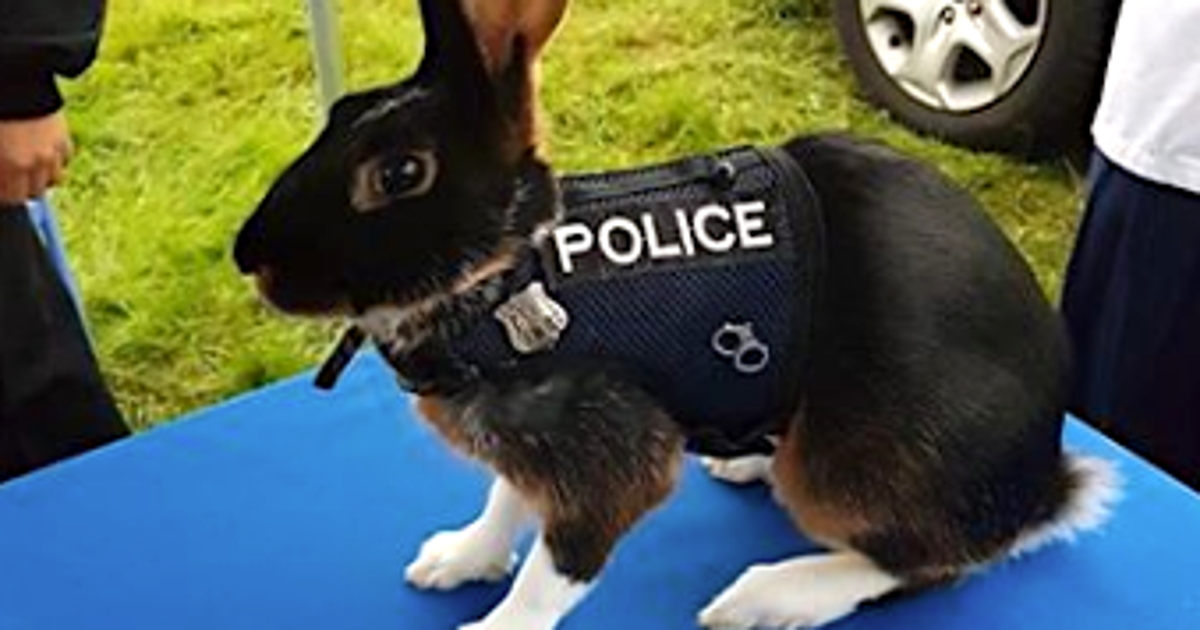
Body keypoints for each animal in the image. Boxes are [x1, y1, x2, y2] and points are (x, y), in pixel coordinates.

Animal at [233, 1, 1119, 628]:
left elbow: (557, 568)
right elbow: (506, 503)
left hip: (862, 463)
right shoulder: (530, 448)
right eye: (337, 114)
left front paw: (493, 627)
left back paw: (767, 599)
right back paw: (744, 466)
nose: (250, 259)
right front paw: (454, 560)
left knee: (928, 562)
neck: (511, 274)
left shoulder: (604, 452)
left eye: (399, 175)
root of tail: (1042, 483)